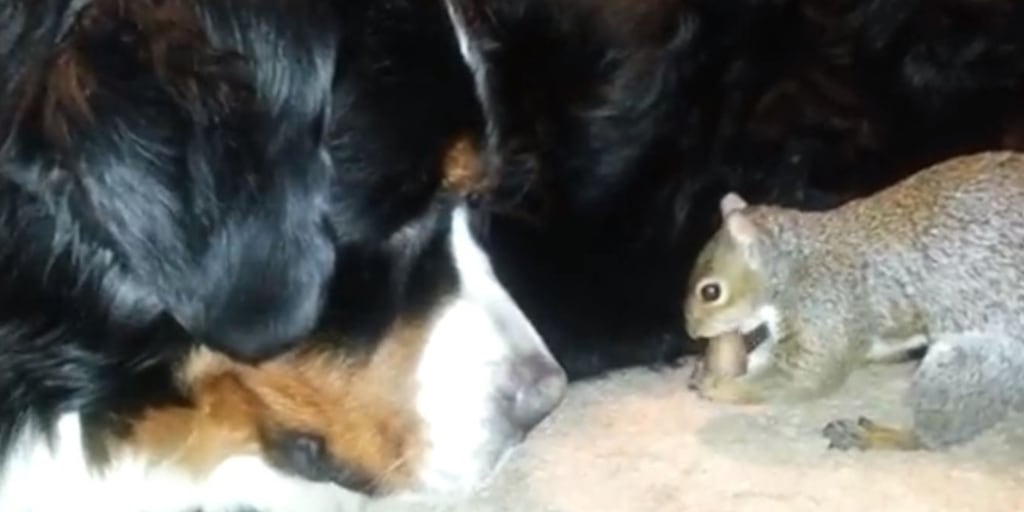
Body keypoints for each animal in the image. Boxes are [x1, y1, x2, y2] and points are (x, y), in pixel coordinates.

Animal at [682, 150, 1024, 451]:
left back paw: (880, 437)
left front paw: (723, 387)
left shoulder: (828, 308)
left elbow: (809, 374)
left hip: (970, 365)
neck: (797, 262)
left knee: (934, 434)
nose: (692, 332)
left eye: (710, 292)